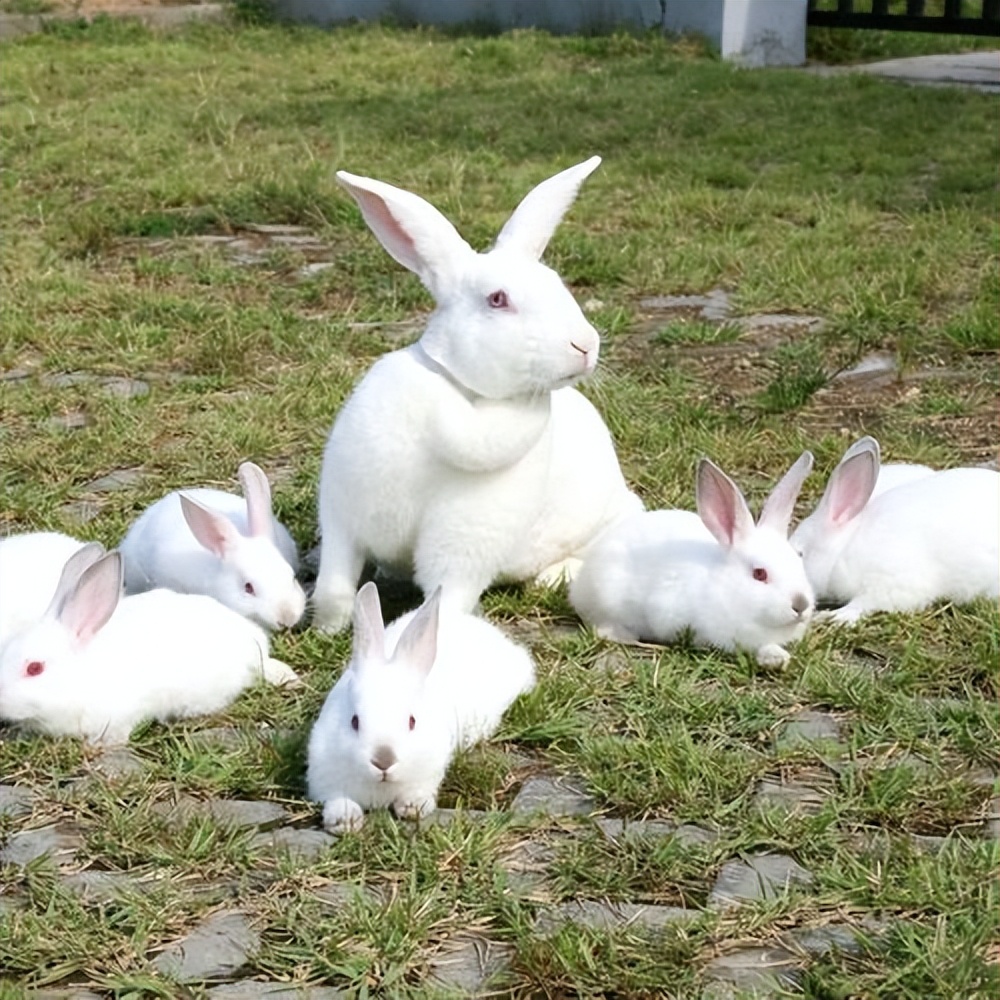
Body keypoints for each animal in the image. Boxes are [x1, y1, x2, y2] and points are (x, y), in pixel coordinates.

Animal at [307, 581, 535, 833]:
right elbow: (337, 800)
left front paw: (412, 806)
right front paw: (344, 820)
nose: (384, 762)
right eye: (354, 721)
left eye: (412, 721)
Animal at [312, 157, 642, 632]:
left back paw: (555, 576)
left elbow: (444, 599)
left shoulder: (461, 547)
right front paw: (326, 628)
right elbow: (333, 588)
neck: (460, 390)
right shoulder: (343, 517)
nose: (585, 345)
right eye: (497, 299)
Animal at [570, 453, 816, 667]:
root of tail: (578, 586)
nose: (801, 604)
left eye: (799, 559)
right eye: (759, 573)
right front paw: (775, 657)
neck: (725, 586)